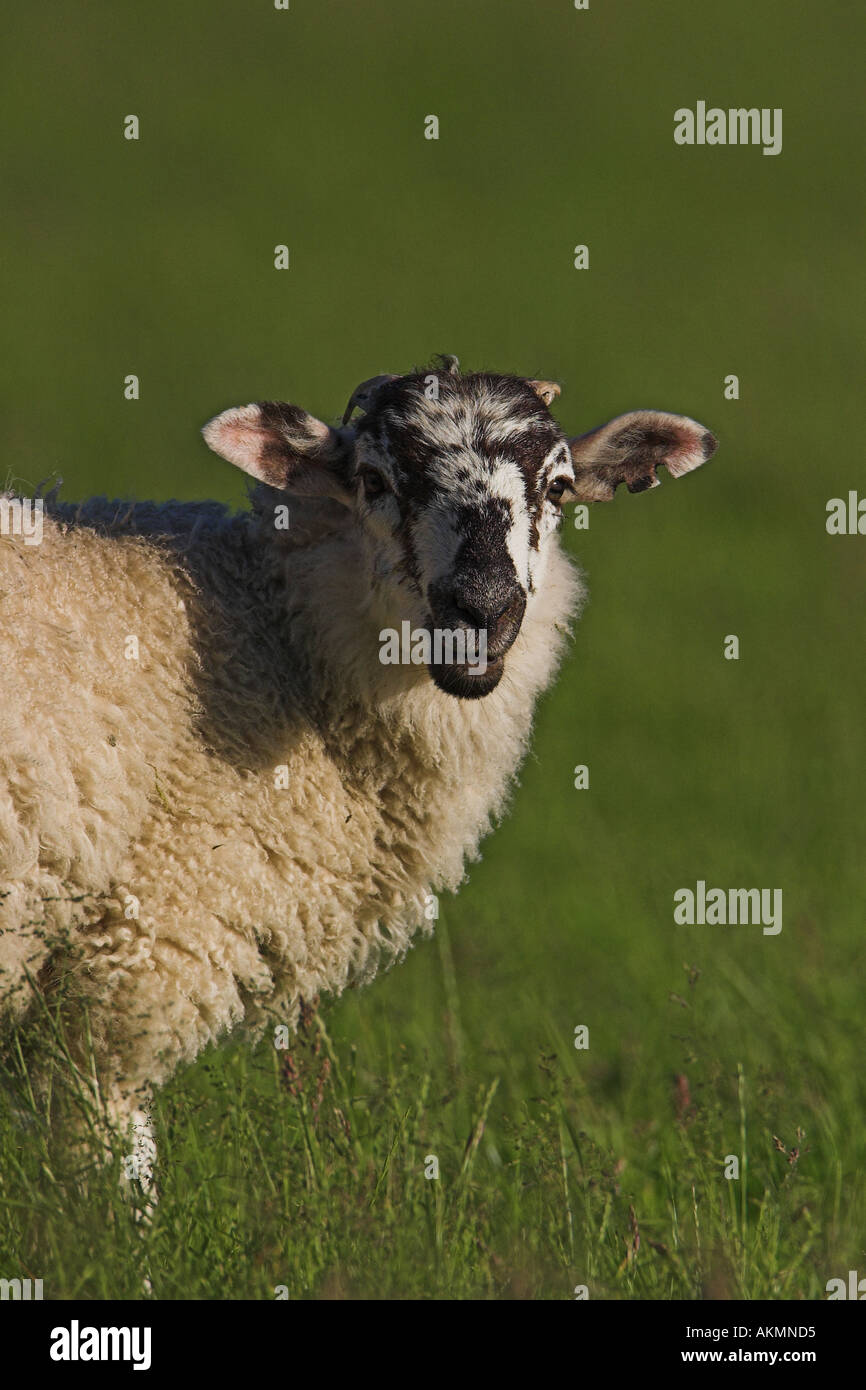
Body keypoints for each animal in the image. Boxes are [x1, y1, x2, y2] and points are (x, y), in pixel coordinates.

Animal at [0, 358, 717, 1178]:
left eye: (559, 488)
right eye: (374, 480)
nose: (483, 609)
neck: (270, 633)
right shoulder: (138, 954)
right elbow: (111, 1164)